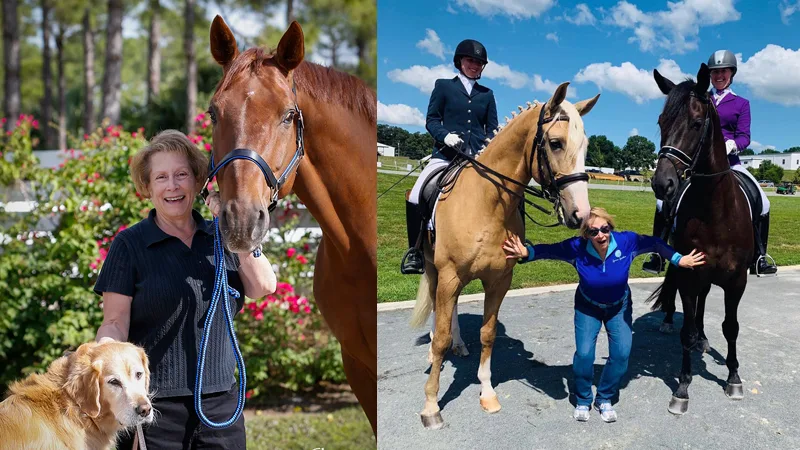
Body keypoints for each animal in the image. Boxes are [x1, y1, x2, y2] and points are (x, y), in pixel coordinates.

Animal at [408, 82, 599, 429]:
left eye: (585, 147)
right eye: (555, 143)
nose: (580, 215)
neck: (487, 203)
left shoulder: (499, 280)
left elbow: (488, 334)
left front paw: (487, 393)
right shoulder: (450, 274)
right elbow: (440, 335)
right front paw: (431, 406)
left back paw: (459, 344)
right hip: (432, 267)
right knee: (438, 309)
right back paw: (435, 353)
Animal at [647, 64, 753, 415]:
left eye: (696, 123)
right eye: (661, 123)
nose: (662, 184)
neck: (715, 210)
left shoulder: (736, 280)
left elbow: (731, 327)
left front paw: (733, 379)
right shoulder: (690, 272)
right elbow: (686, 331)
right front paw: (682, 388)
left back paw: (705, 340)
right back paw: (671, 321)